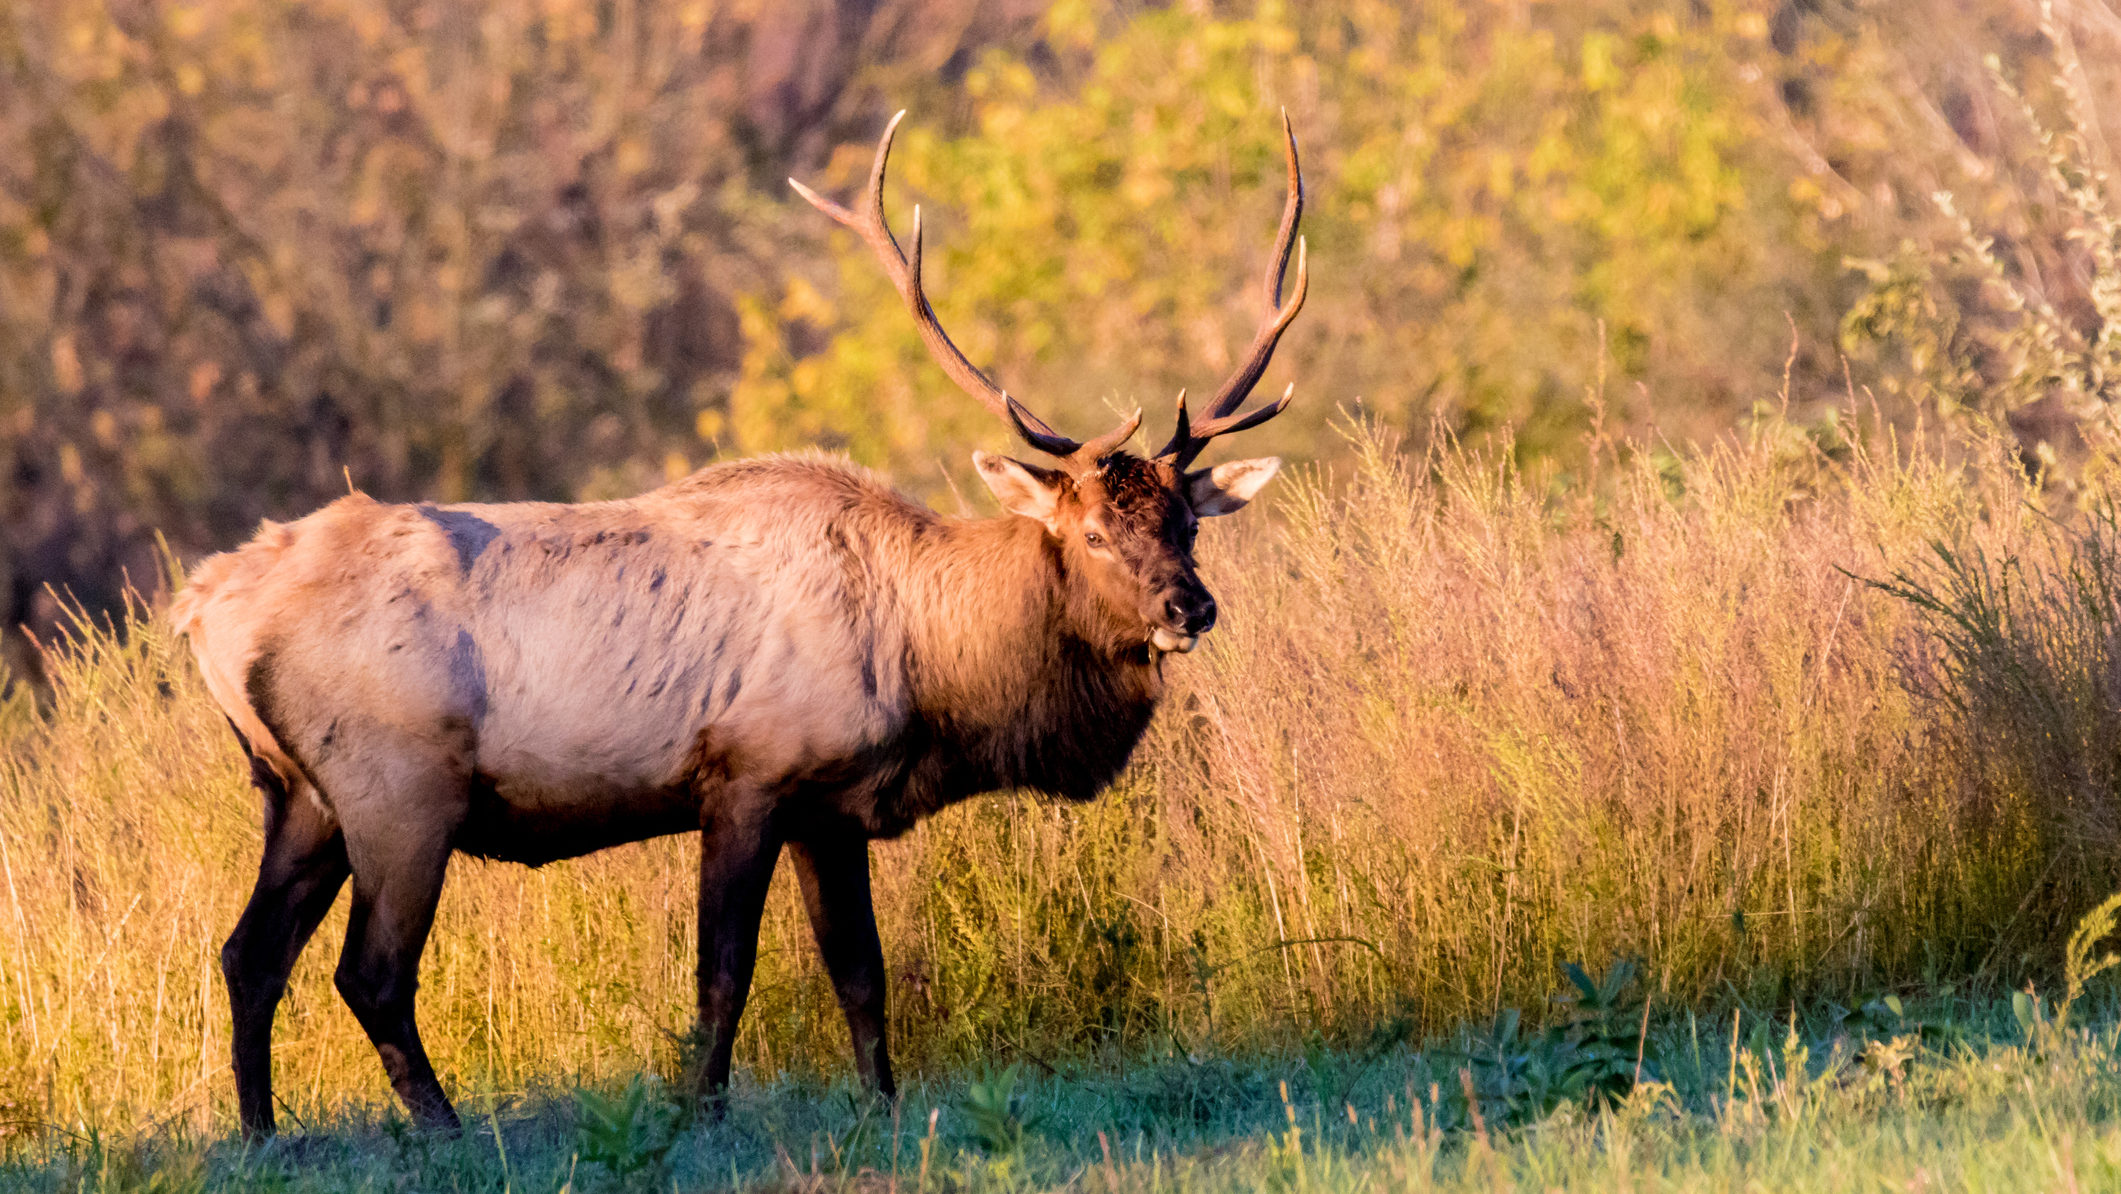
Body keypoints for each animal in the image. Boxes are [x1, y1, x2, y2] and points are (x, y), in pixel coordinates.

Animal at [172, 111, 1308, 1139]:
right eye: (1093, 534)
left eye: (1185, 524)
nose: (1190, 607)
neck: (926, 665)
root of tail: (205, 603)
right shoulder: (748, 773)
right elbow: (725, 971)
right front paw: (703, 1114)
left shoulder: (828, 805)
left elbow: (861, 971)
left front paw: (884, 1109)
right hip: (398, 787)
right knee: (368, 973)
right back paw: (446, 1132)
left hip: (300, 793)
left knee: (248, 954)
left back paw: (260, 1132)